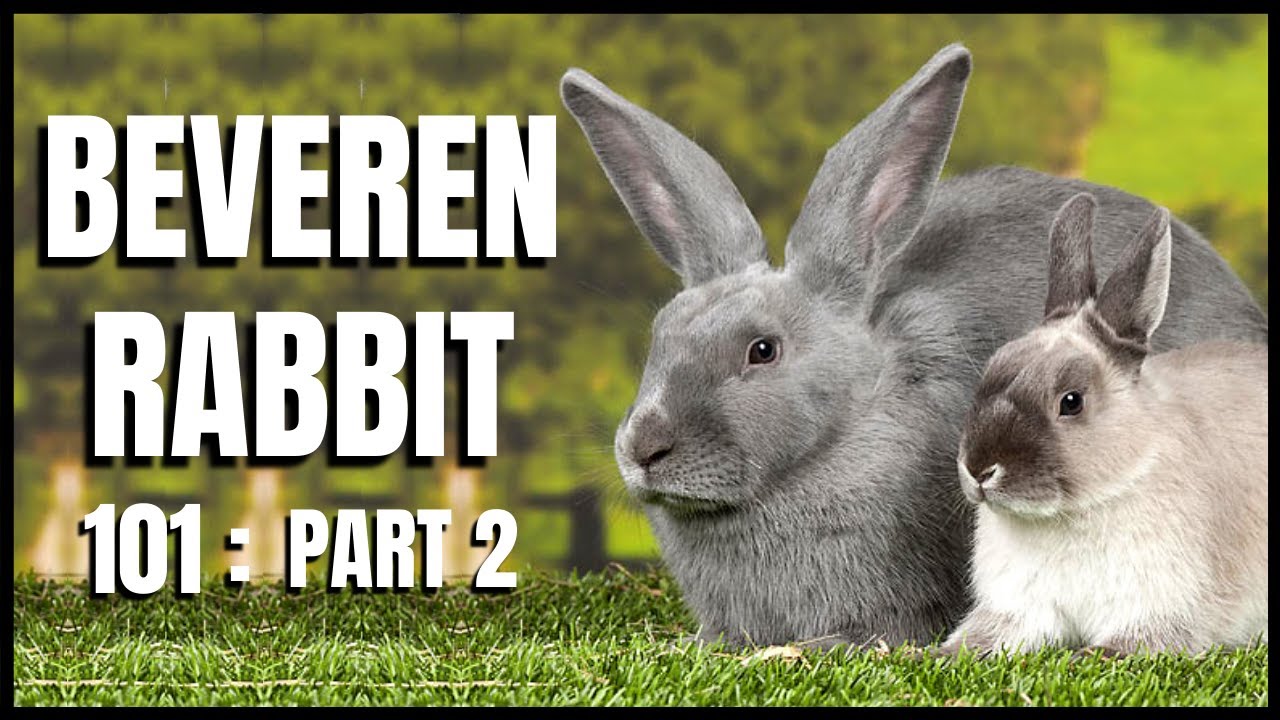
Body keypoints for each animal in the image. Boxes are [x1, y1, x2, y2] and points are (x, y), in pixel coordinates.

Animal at [942, 194, 1268, 656]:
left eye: (1071, 401)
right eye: (989, 374)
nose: (979, 469)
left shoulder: (1159, 606)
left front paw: (1088, 656)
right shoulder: (1019, 607)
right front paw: (932, 653)